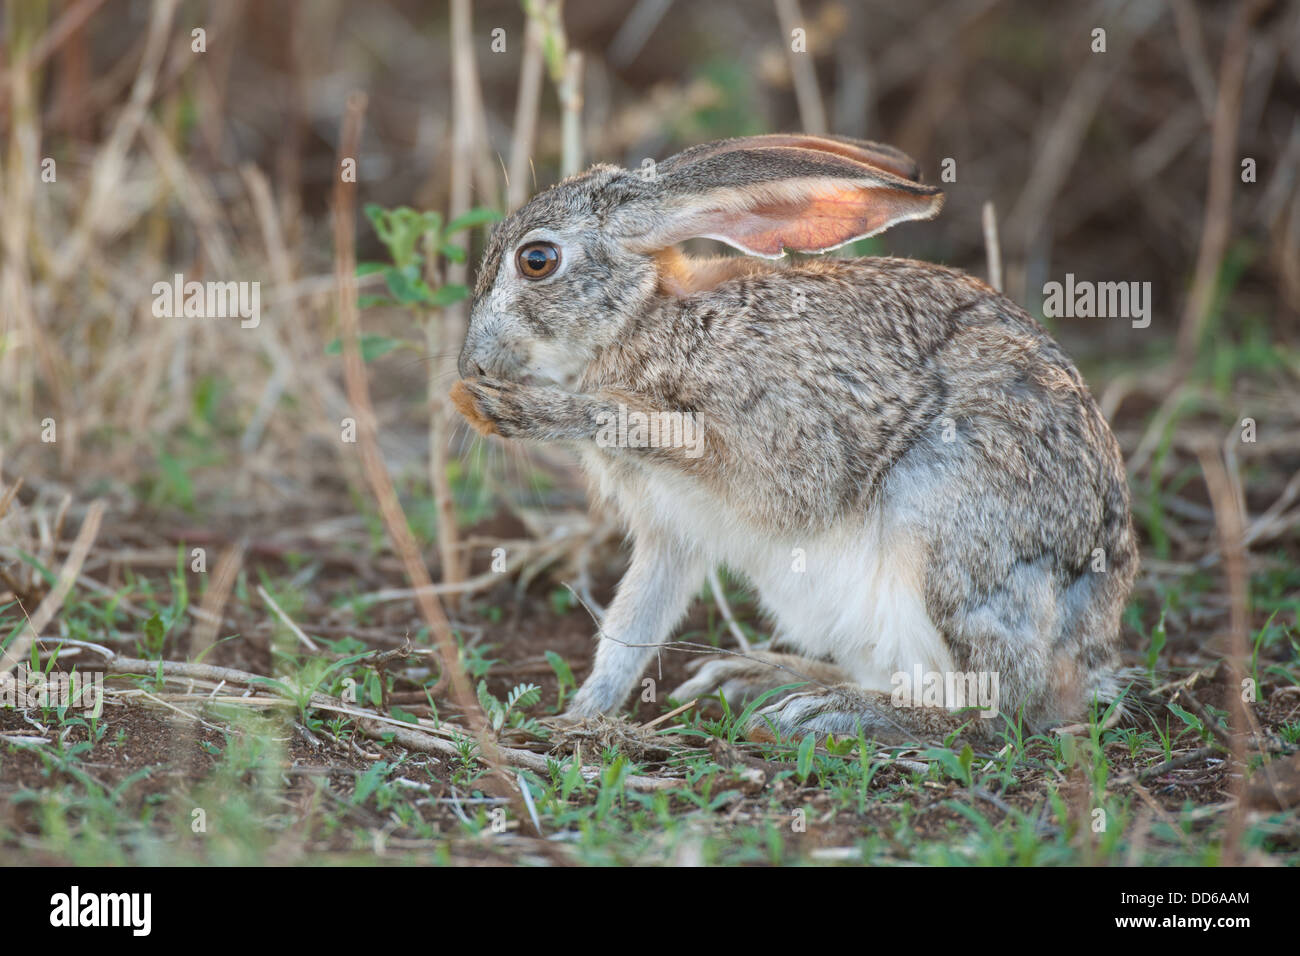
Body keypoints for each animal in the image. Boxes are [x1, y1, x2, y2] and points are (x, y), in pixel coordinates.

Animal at [450, 133, 1138, 744]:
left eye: (537, 261)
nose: (470, 365)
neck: (641, 319)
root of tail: (1090, 655)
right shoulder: (671, 531)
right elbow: (631, 624)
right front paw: (578, 716)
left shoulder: (761, 446)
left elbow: (653, 429)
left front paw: (515, 409)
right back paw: (755, 679)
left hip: (949, 537)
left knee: (998, 710)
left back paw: (831, 713)